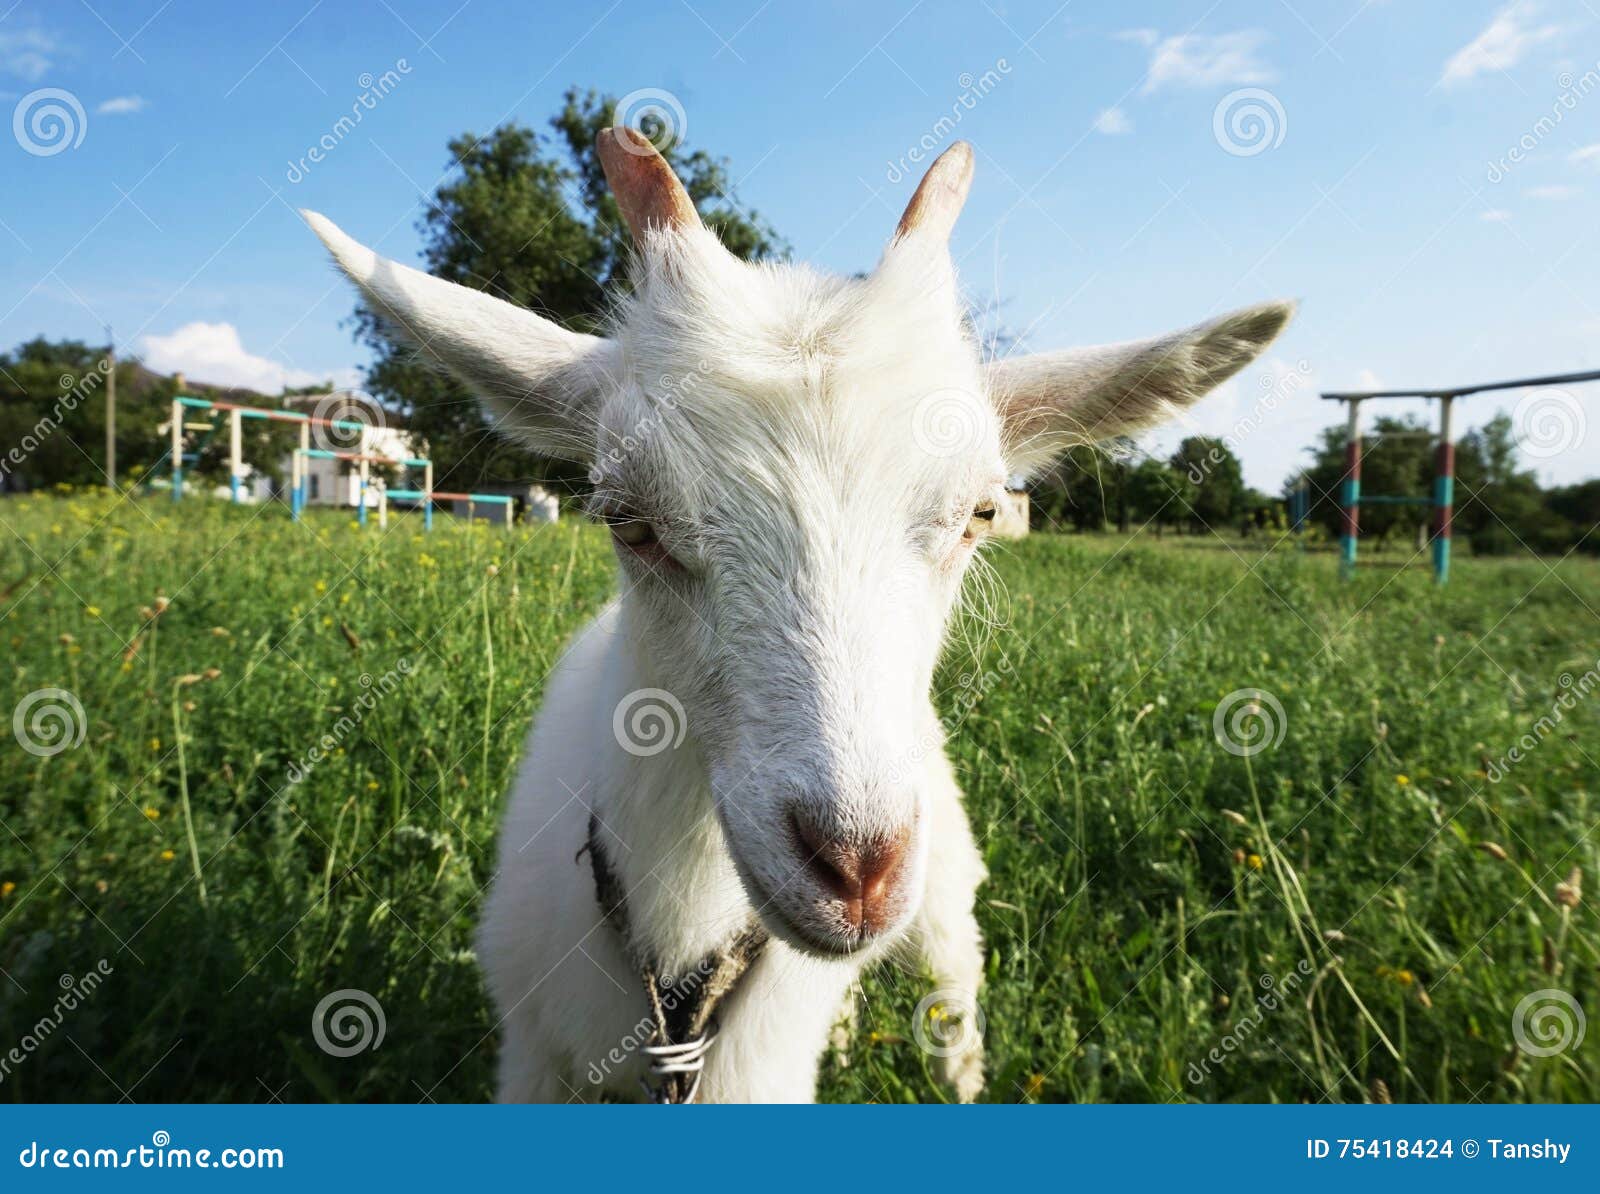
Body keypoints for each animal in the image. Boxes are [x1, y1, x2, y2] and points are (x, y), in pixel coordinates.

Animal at [304, 129, 1292, 1103]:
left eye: (980, 514)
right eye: (627, 519)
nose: (855, 868)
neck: (675, 981)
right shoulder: (533, 1054)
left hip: (944, 878)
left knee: (955, 982)